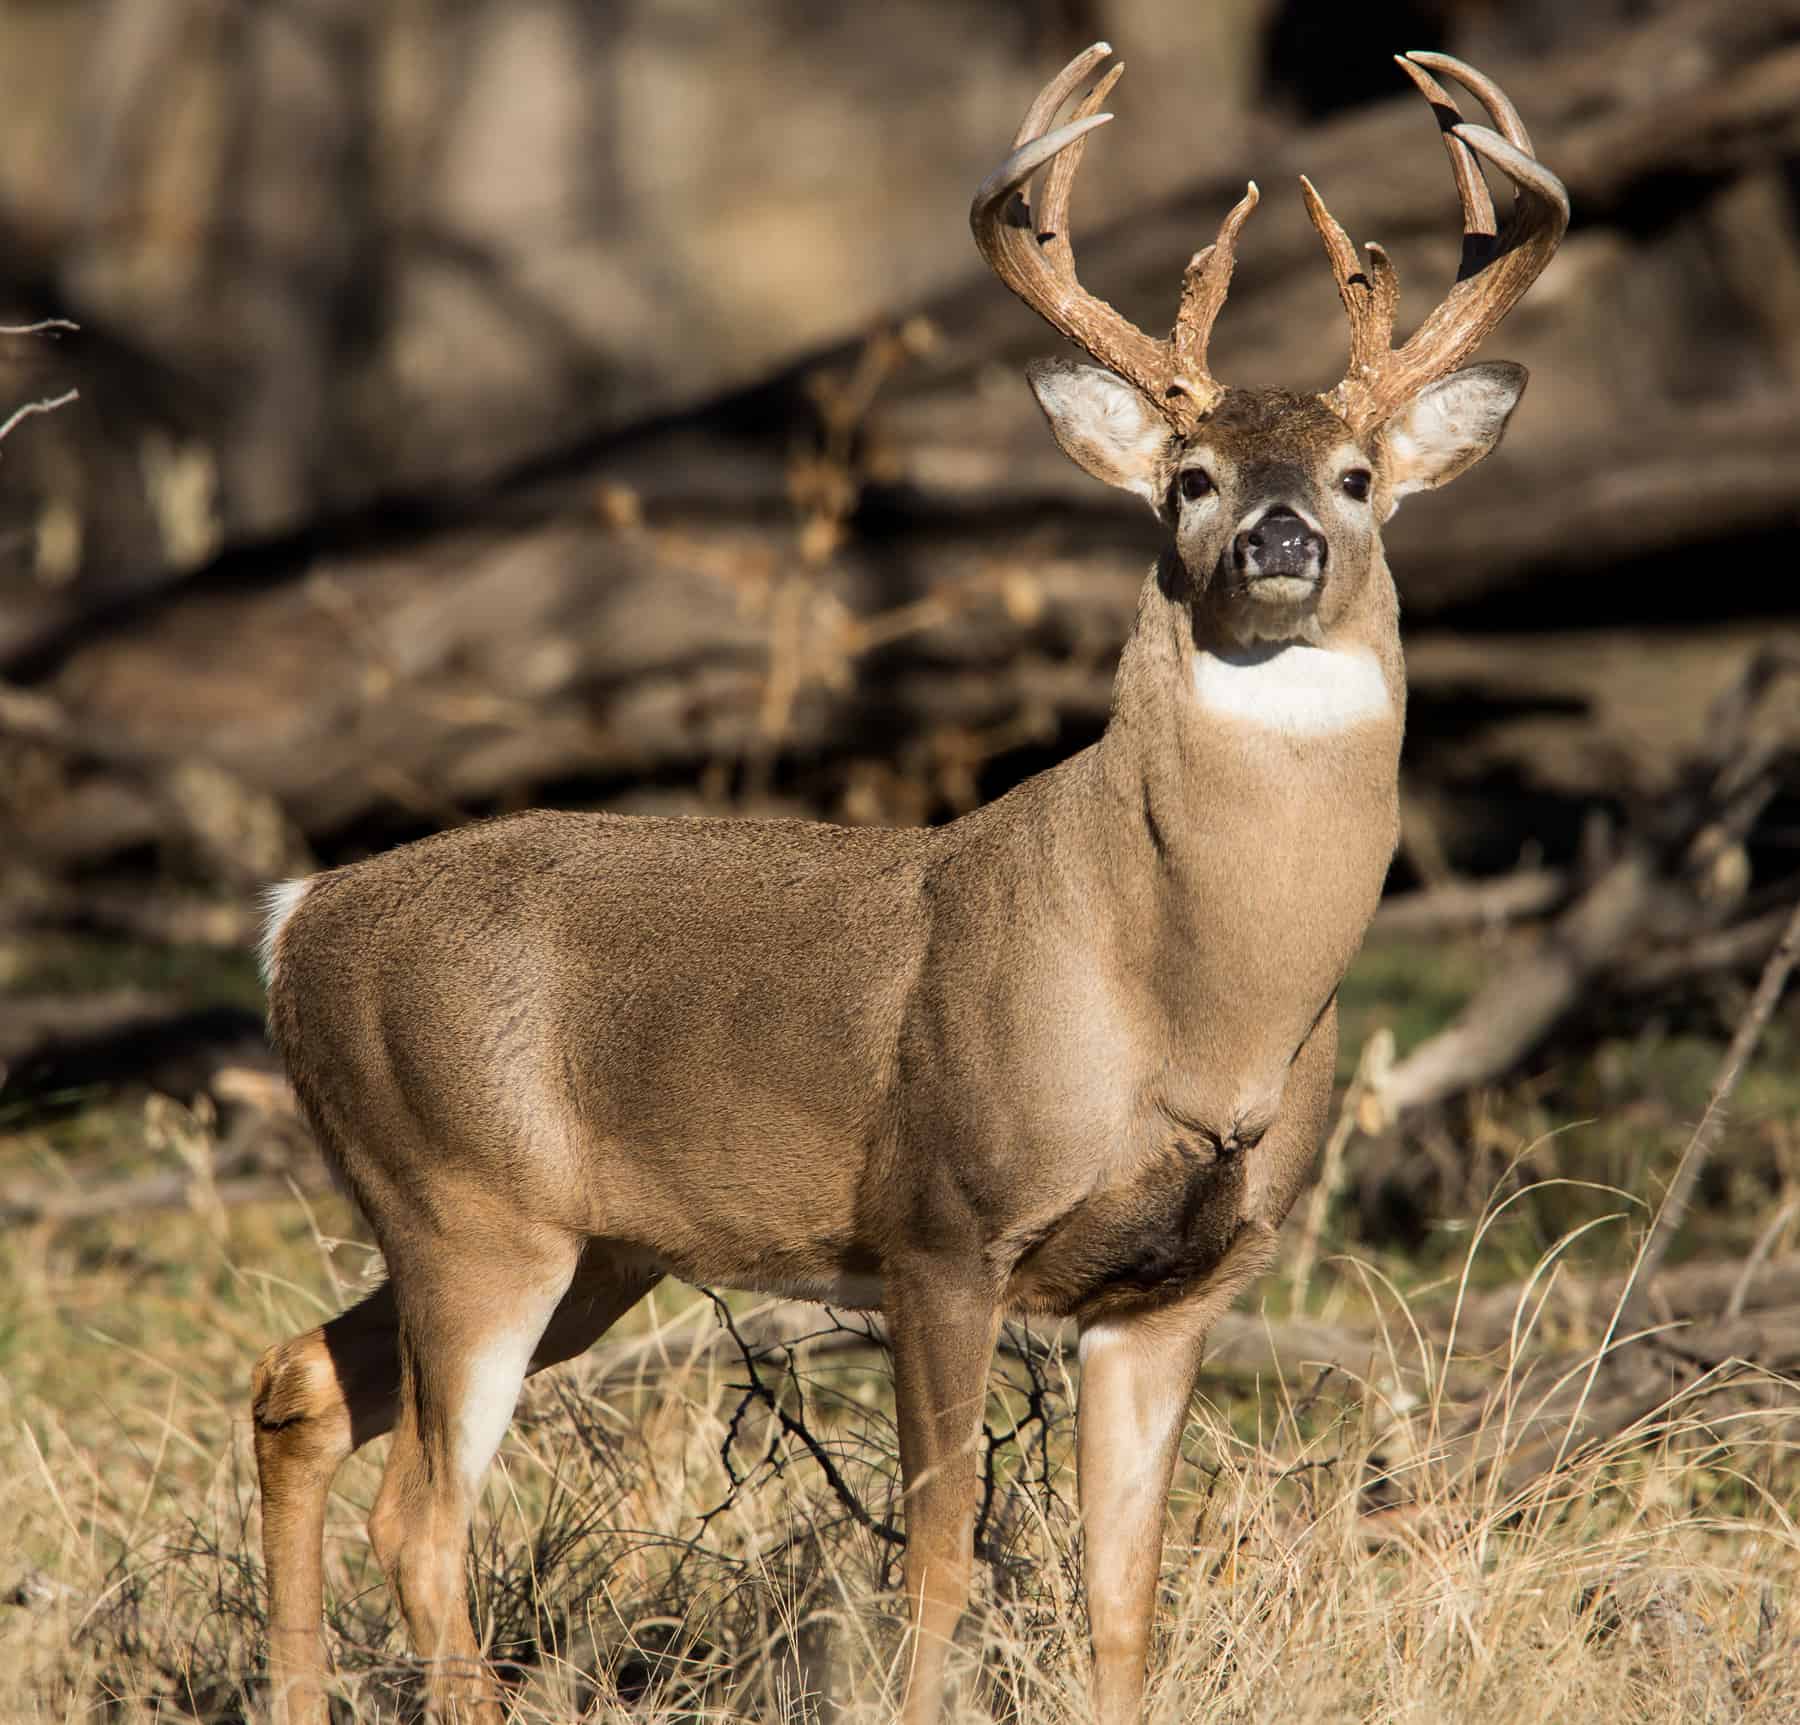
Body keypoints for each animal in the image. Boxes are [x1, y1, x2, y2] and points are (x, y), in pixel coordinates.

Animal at [250, 42, 1565, 1725]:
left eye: (1353, 473)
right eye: (1189, 477)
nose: (1278, 534)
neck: (1194, 1002)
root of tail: (293, 927)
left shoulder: (1181, 1287)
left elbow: (1124, 1595)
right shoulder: (942, 1222)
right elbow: (938, 1557)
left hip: (582, 1243)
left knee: (295, 1388)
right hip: (469, 1202)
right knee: (420, 1515)